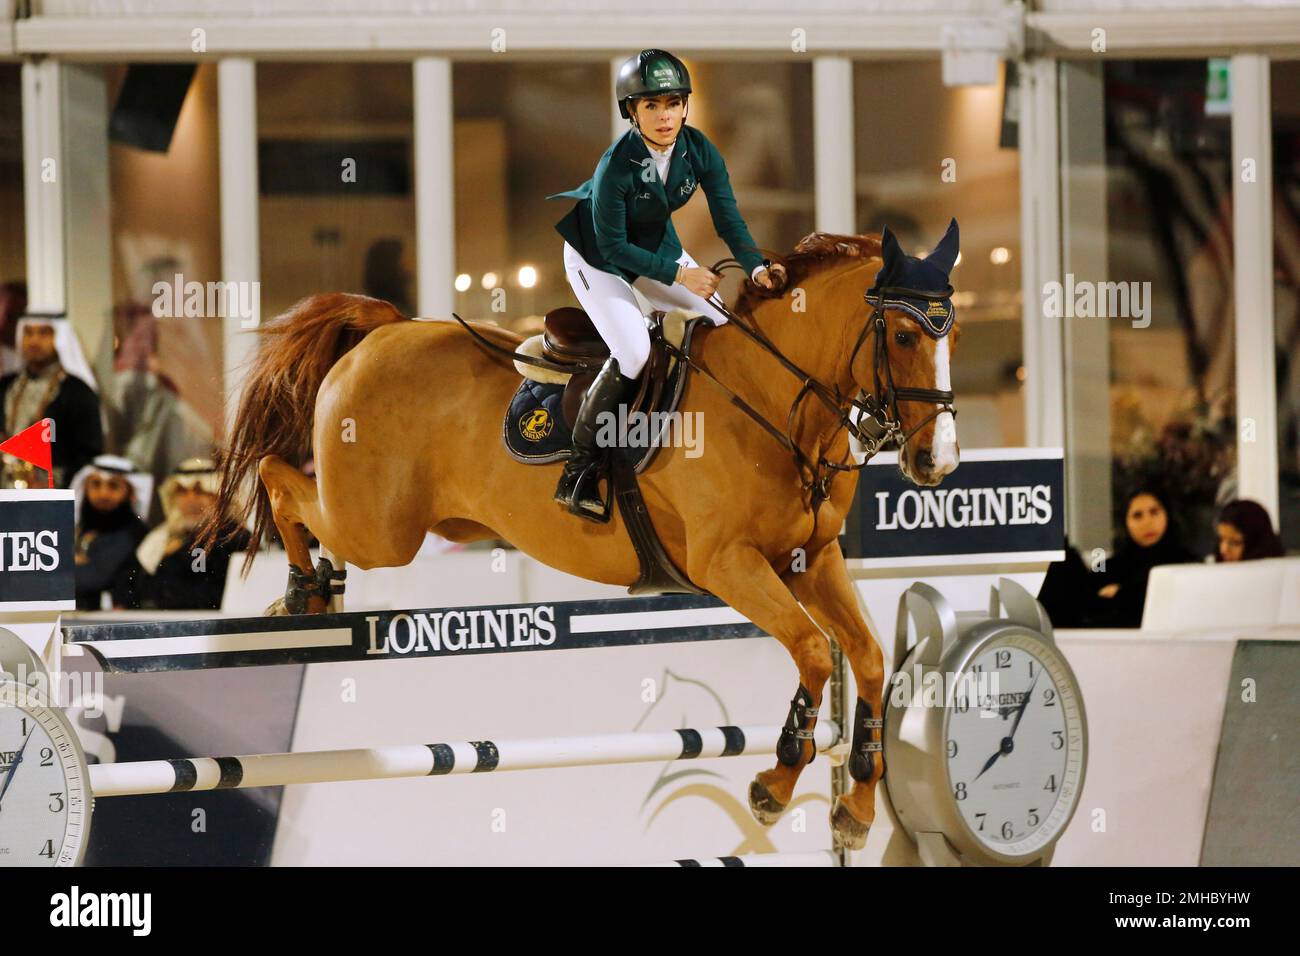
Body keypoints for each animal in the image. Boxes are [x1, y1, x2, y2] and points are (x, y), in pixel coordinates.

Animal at [201, 225, 962, 849]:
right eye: (903, 336)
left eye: (949, 335)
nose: (937, 462)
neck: (773, 402)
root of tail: (384, 329)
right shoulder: (729, 565)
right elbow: (809, 650)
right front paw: (772, 786)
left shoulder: (812, 559)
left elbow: (866, 658)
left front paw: (856, 807)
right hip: (378, 529)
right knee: (276, 475)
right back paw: (301, 590)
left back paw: (314, 589)